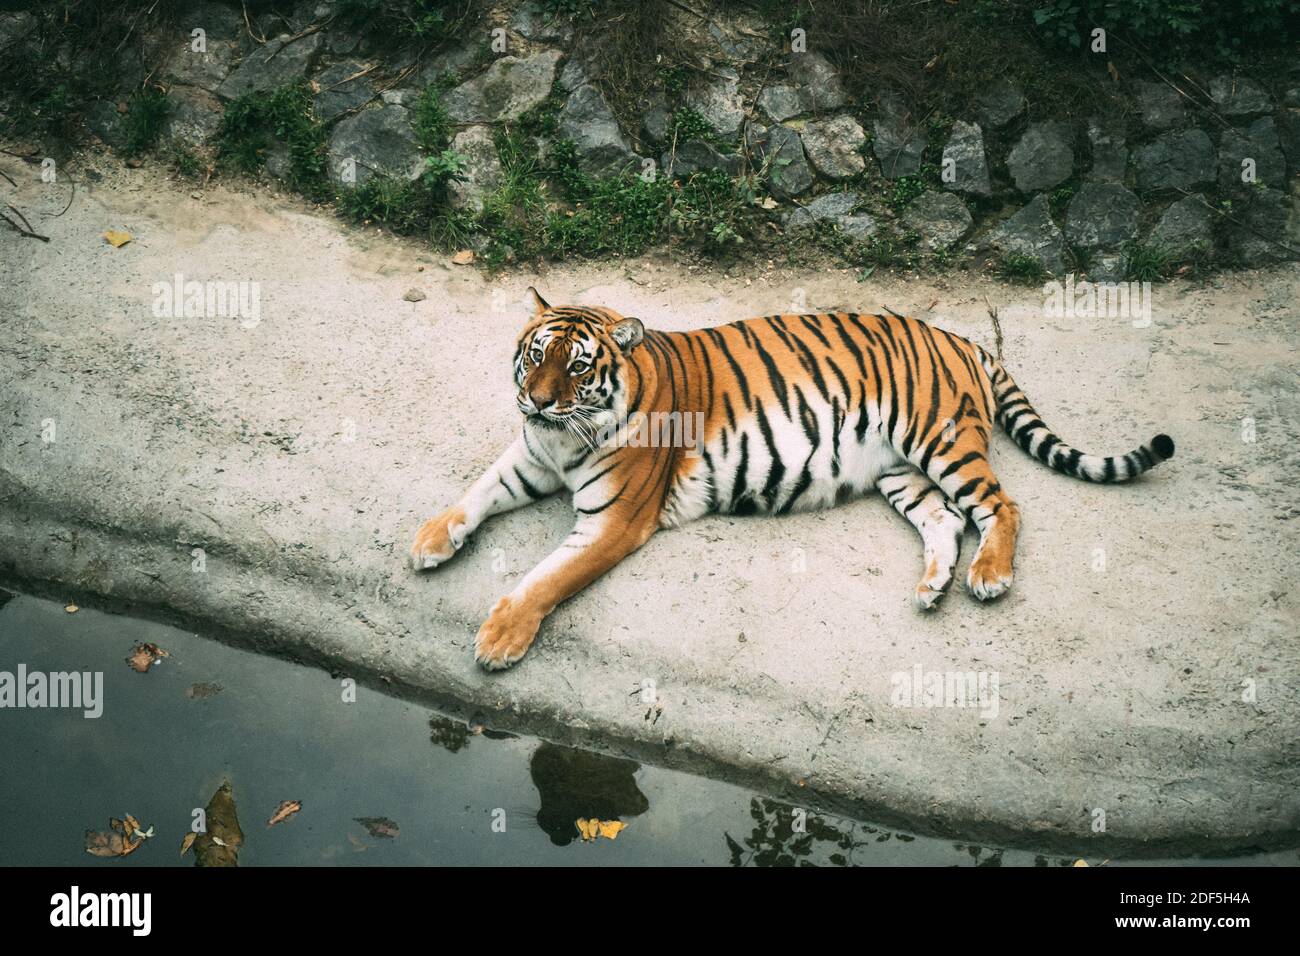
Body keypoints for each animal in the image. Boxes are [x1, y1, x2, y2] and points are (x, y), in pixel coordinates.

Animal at [411, 288, 1174, 670]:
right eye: (535, 355)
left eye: (576, 367)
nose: (536, 401)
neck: (562, 435)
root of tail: (961, 337)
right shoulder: (528, 459)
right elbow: (476, 492)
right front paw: (430, 539)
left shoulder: (614, 520)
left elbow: (546, 578)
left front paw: (499, 639)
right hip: (900, 471)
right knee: (945, 519)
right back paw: (932, 587)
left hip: (940, 441)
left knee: (1001, 506)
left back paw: (989, 576)